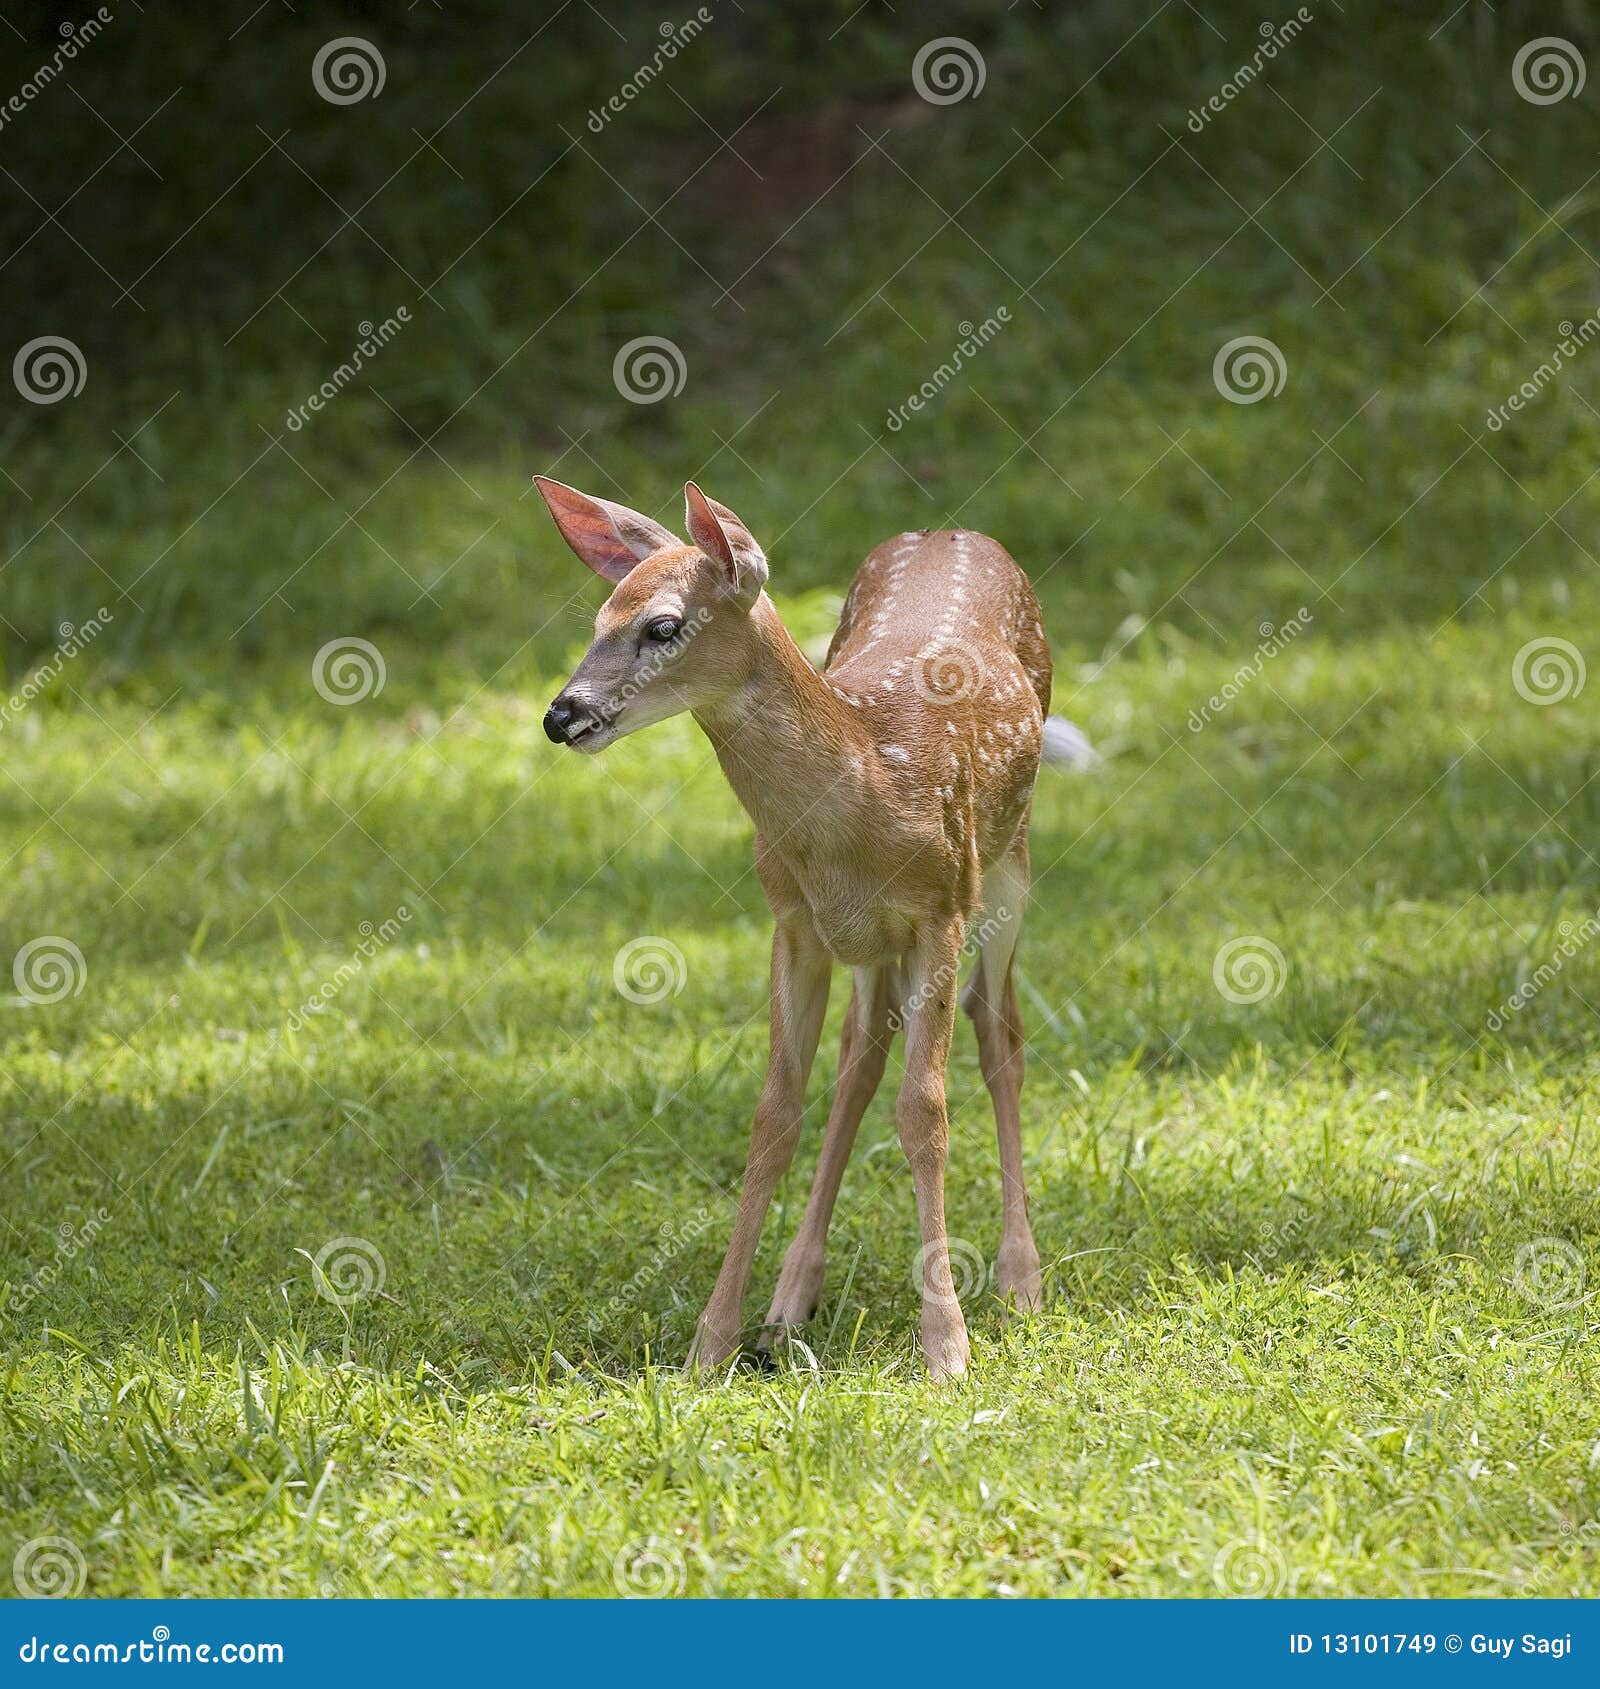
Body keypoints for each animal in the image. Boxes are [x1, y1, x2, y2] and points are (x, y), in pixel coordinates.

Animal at [535, 475, 1089, 1380]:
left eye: (662, 626)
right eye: (596, 621)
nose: (562, 715)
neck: (869, 780)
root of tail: (949, 528)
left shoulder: (940, 907)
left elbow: (925, 1111)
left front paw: (947, 1345)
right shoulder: (791, 919)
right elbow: (776, 1113)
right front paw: (712, 1340)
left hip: (1011, 856)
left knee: (998, 1030)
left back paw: (1020, 1279)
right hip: (866, 940)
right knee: (863, 1048)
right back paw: (791, 1295)